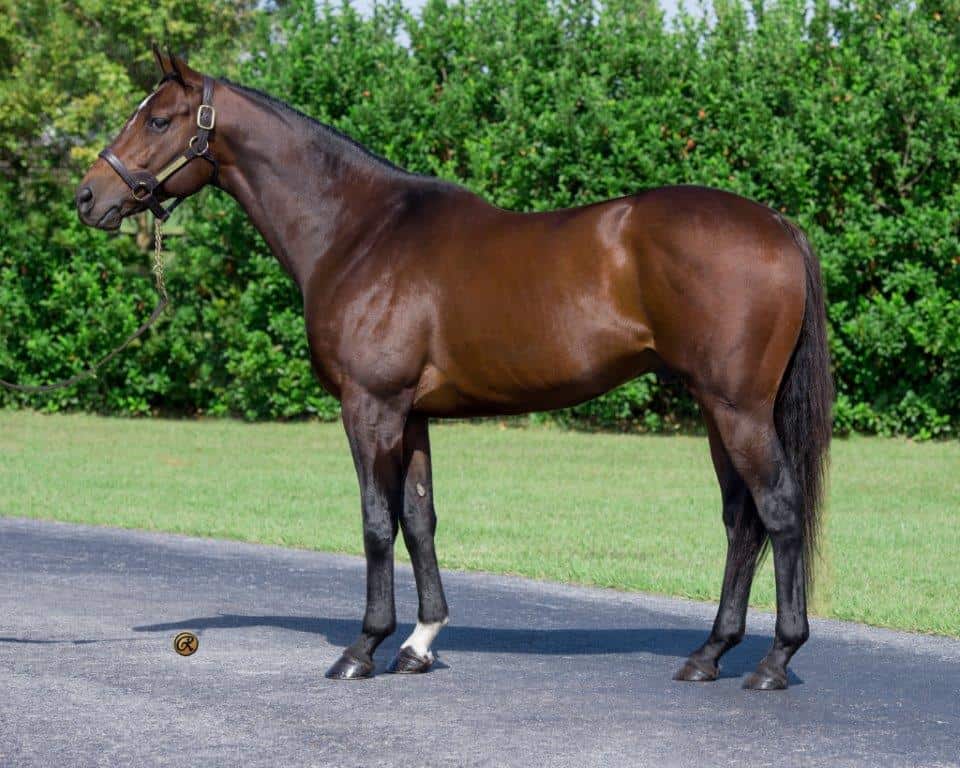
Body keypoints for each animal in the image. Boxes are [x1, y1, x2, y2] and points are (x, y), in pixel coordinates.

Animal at [77, 49, 832, 690]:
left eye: (159, 118)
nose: (88, 197)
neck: (360, 232)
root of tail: (776, 224)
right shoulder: (411, 415)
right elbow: (420, 519)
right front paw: (419, 643)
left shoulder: (370, 407)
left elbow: (375, 522)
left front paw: (362, 649)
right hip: (716, 409)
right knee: (741, 520)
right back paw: (709, 654)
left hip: (738, 409)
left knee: (779, 509)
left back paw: (775, 660)